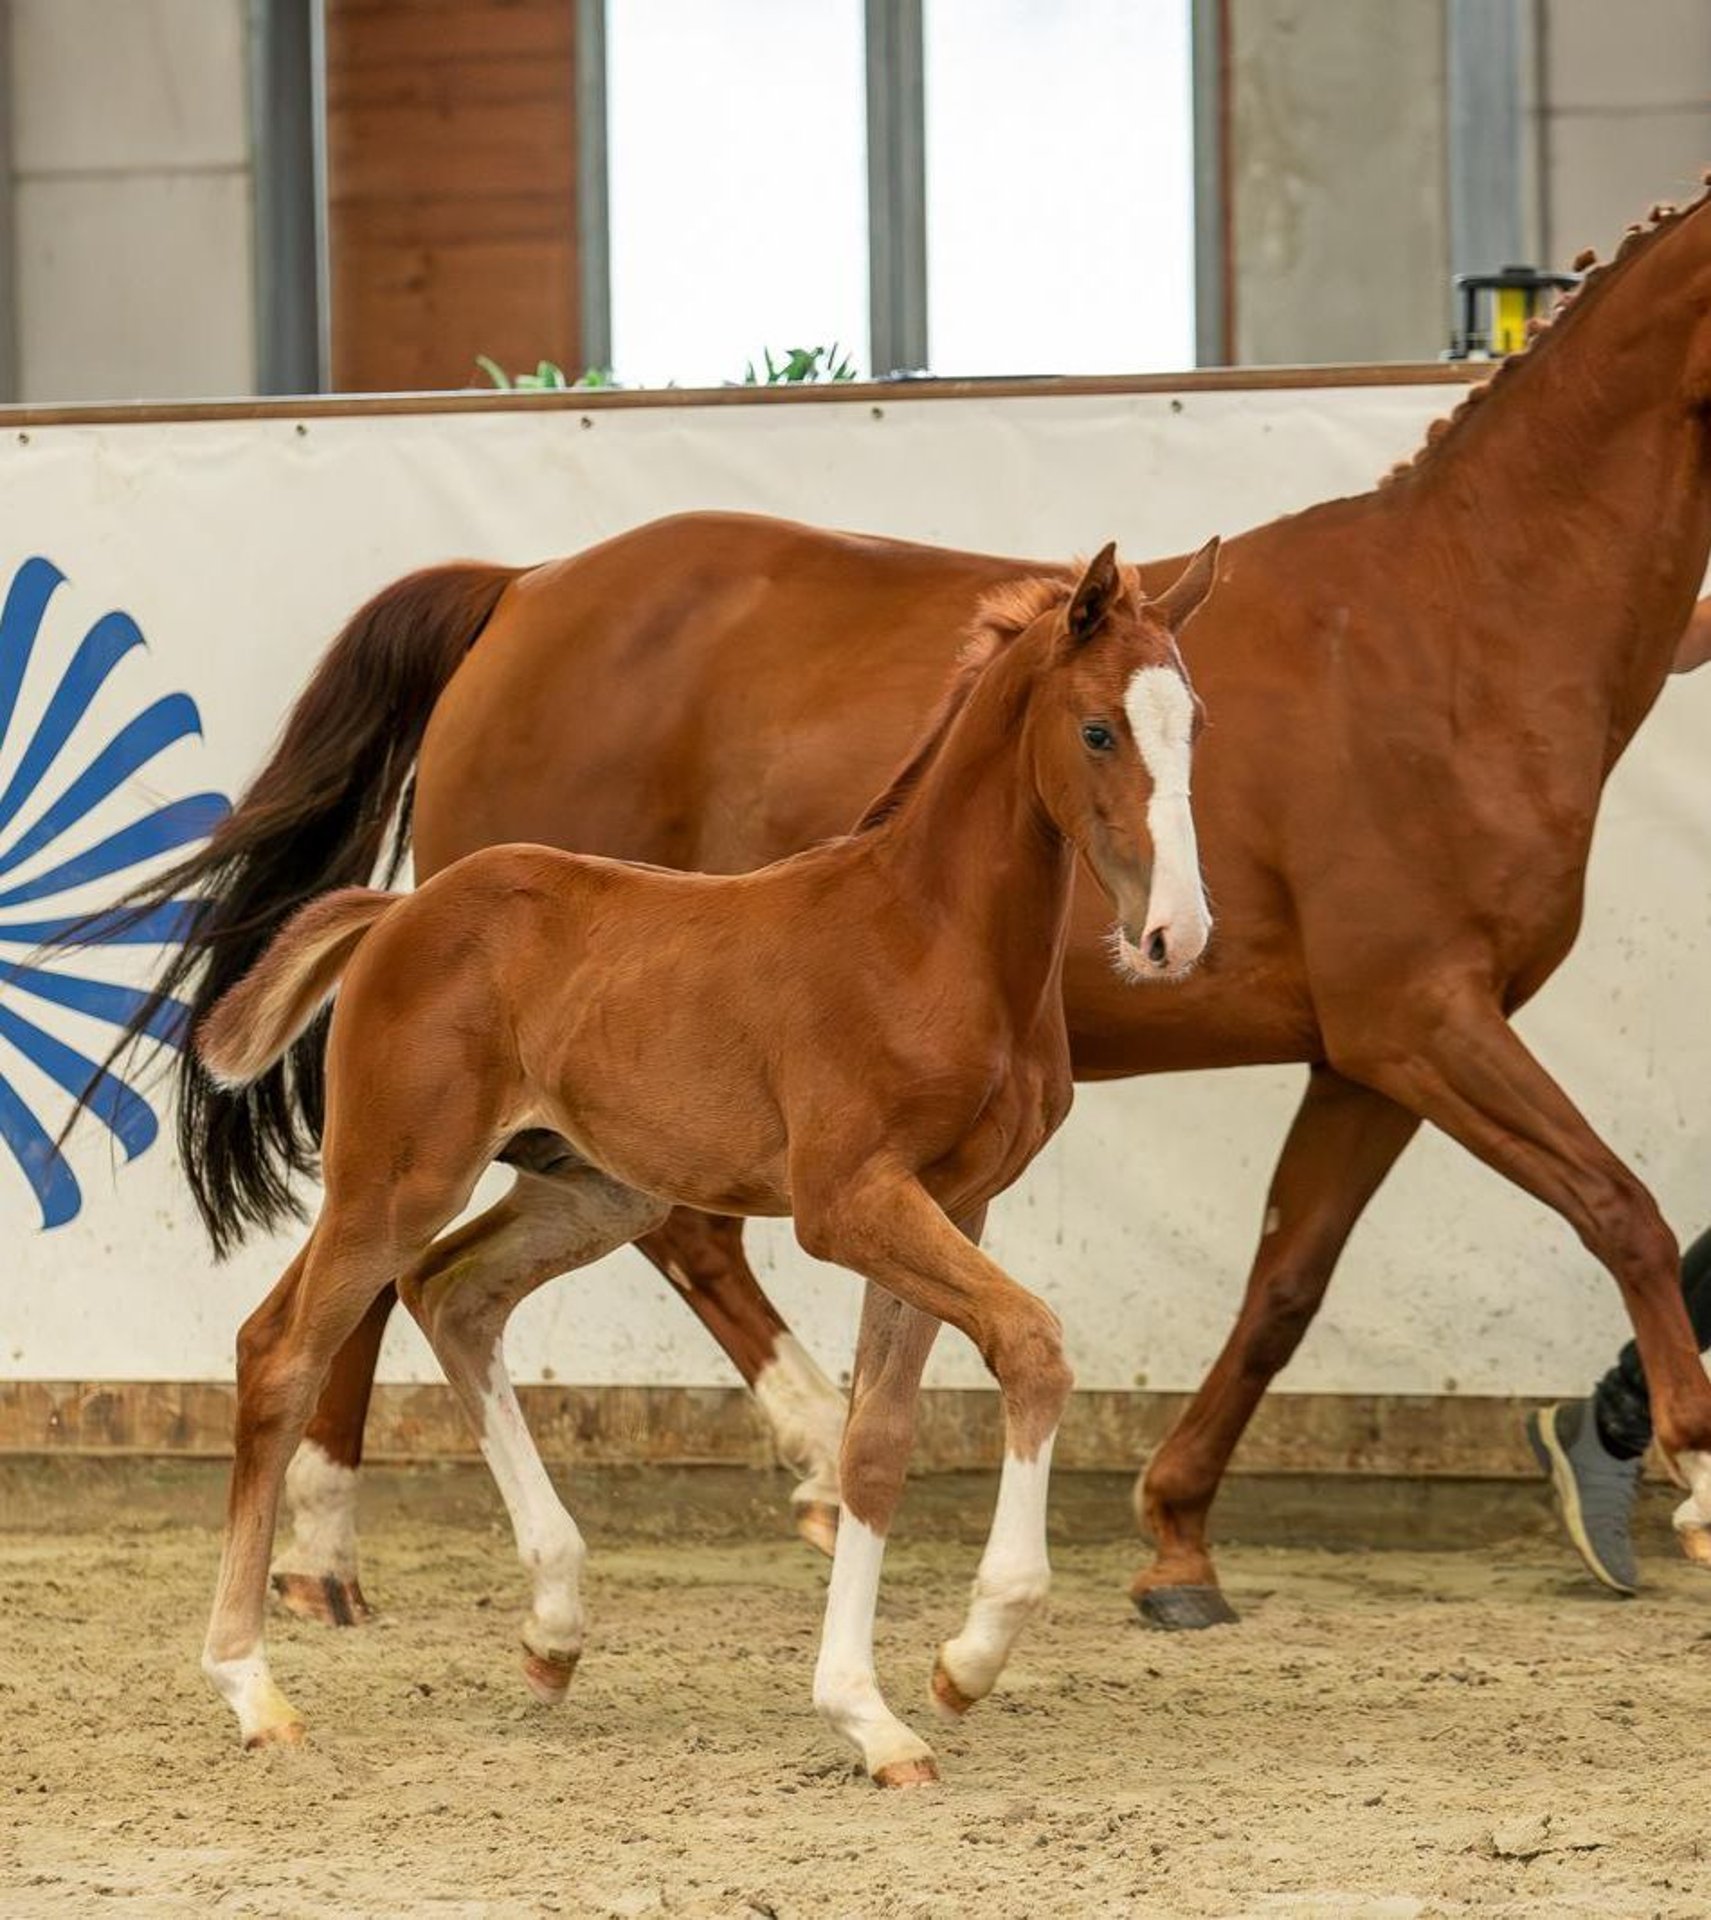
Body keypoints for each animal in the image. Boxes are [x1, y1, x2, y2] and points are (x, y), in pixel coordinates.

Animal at [87, 183, 1711, 1635]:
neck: (1458, 622)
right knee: (462, 1258)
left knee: (561, 1248)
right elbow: (1621, 1211)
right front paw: (1693, 1474)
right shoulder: (1421, 1017)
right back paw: (382, 1537)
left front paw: (1176, 1541)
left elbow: (1285, 1286)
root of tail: (525, 586)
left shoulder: (1365, 1051)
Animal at [189, 543, 1216, 1782]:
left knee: (454, 1295)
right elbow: (1032, 1344)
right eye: (1099, 729)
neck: (928, 938)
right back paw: (252, 1689)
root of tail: (401, 908)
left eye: (1193, 723)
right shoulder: (849, 1201)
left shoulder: (951, 1205)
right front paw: (968, 1659)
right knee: (282, 1349)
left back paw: (553, 1630)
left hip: (589, 1190)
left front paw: (870, 1713)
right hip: (398, 1177)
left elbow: (877, 1443)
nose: (1175, 936)